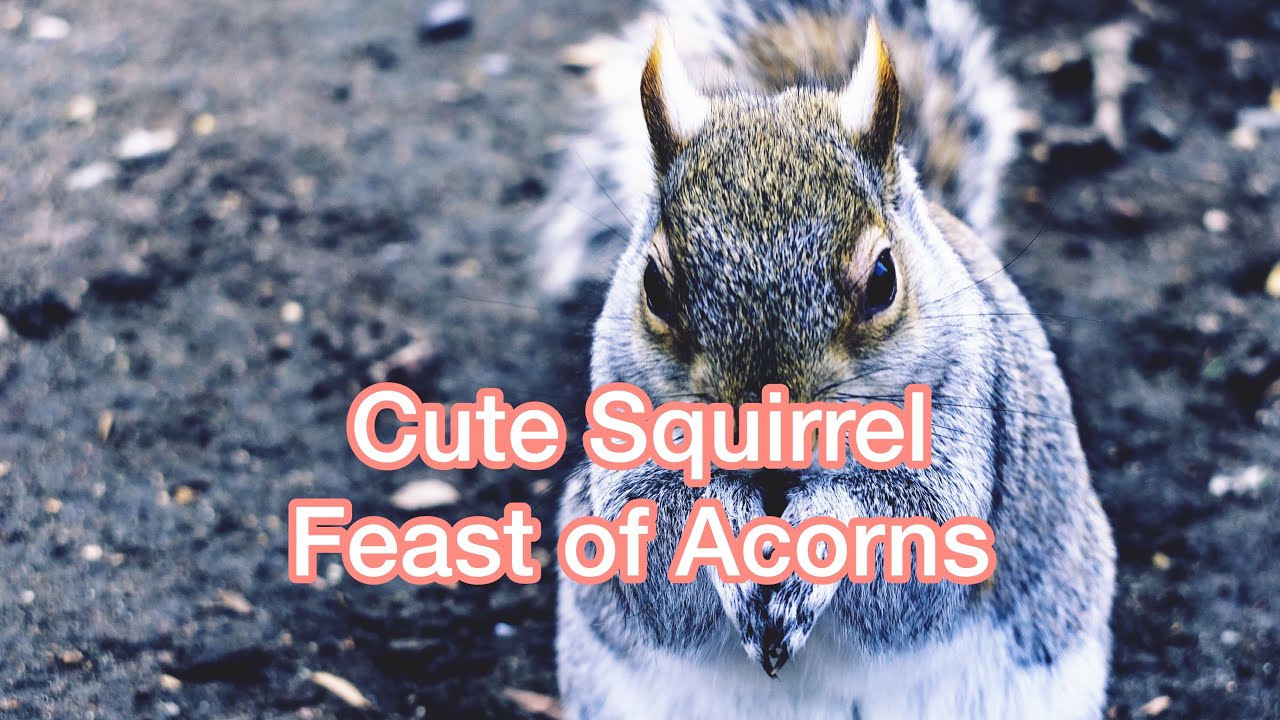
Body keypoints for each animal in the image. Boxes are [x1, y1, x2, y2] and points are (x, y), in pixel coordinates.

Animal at [540, 1, 1117, 718]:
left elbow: (916, 560)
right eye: (653, 285)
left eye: (883, 279)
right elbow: (653, 575)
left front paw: (819, 533)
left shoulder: (970, 420)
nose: (763, 444)